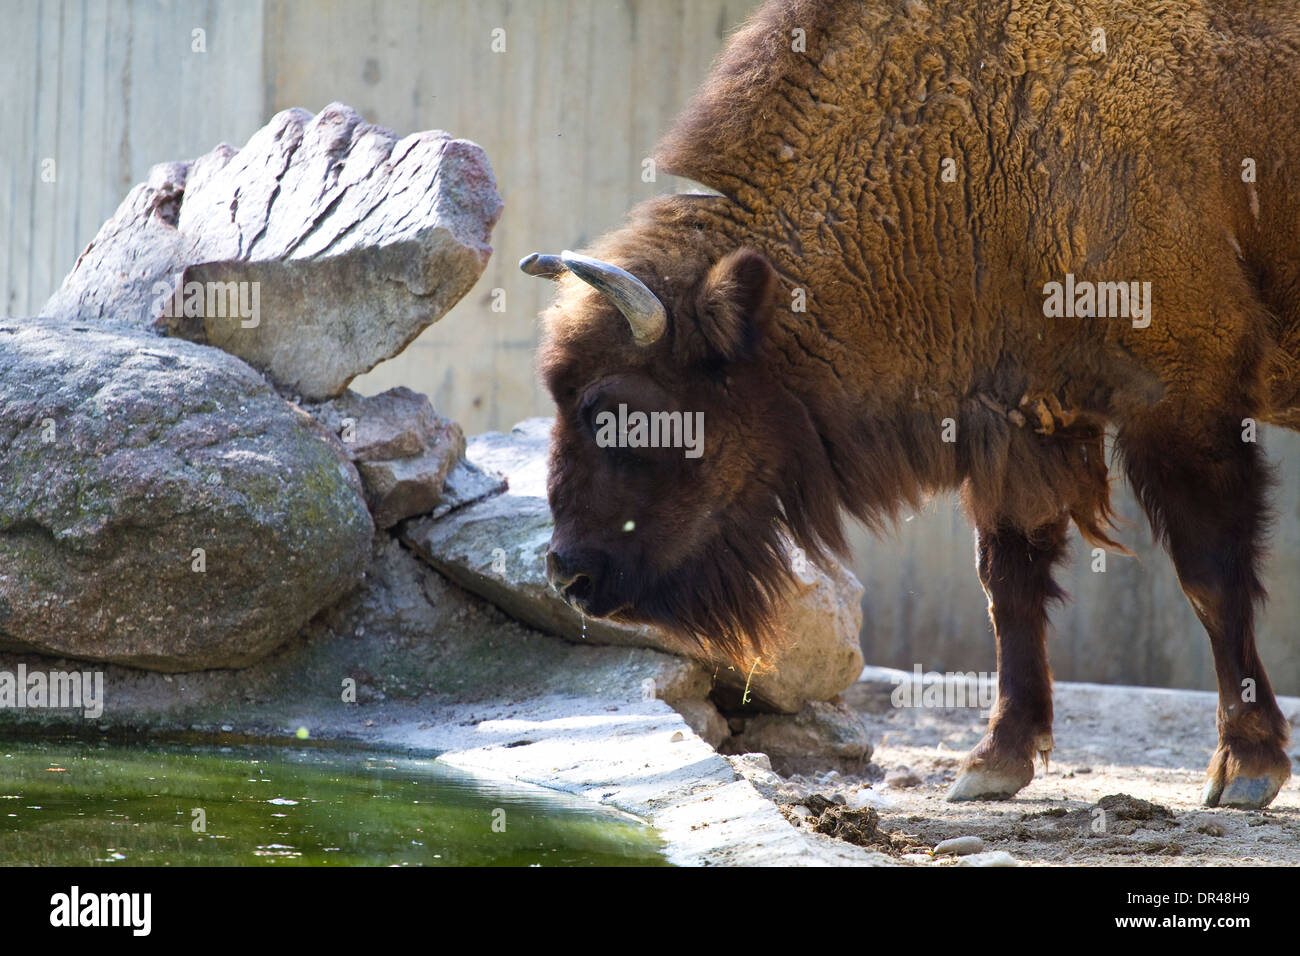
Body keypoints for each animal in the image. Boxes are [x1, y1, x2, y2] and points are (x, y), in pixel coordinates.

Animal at [521, 0, 1298, 809]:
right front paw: (991, 763)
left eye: (614, 408)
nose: (567, 574)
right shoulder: (1020, 430)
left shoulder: (1183, 405)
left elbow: (1210, 576)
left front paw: (1246, 768)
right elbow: (1009, 584)